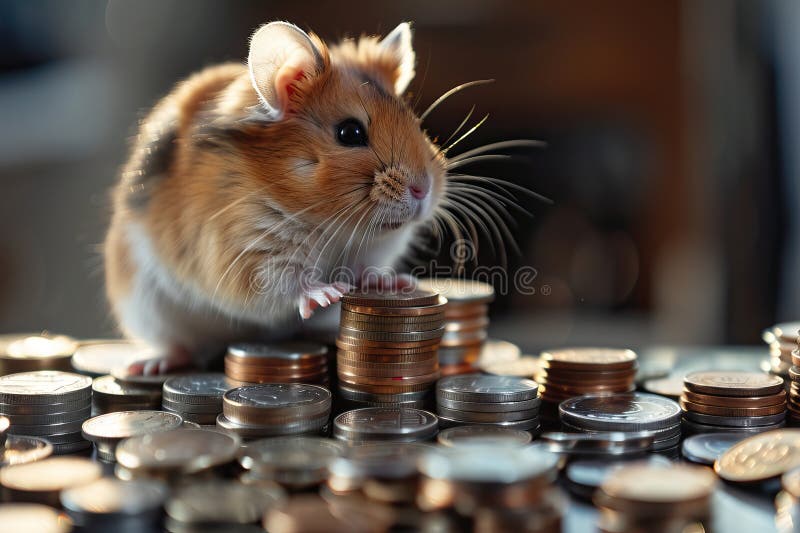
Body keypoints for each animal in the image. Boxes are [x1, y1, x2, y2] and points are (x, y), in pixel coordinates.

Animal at [105, 21, 450, 374]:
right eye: (350, 132)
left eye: (416, 124)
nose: (424, 190)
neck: (329, 224)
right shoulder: (243, 249)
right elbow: (284, 281)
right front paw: (328, 293)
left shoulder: (373, 248)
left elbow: (365, 268)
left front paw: (396, 283)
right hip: (143, 307)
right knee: (179, 345)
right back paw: (150, 365)